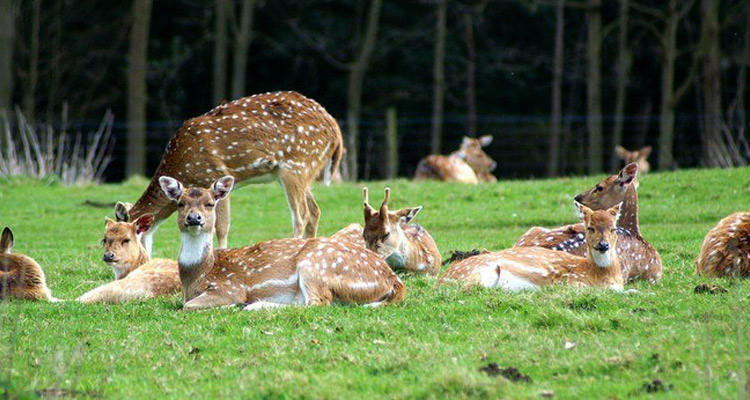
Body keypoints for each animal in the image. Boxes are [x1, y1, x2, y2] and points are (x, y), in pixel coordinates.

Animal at [114, 91, 345, 257]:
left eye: (126, 239)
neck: (182, 165)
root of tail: (335, 129)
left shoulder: (215, 174)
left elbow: (221, 227)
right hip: (298, 171)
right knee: (315, 211)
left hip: (297, 163)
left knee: (301, 214)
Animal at [158, 175, 405, 311]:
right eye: (180, 203)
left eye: (210, 203)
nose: (194, 218)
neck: (197, 275)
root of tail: (393, 280)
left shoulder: (228, 287)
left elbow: (187, 306)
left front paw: (234, 304)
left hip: (315, 266)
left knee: (317, 302)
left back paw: (253, 306)